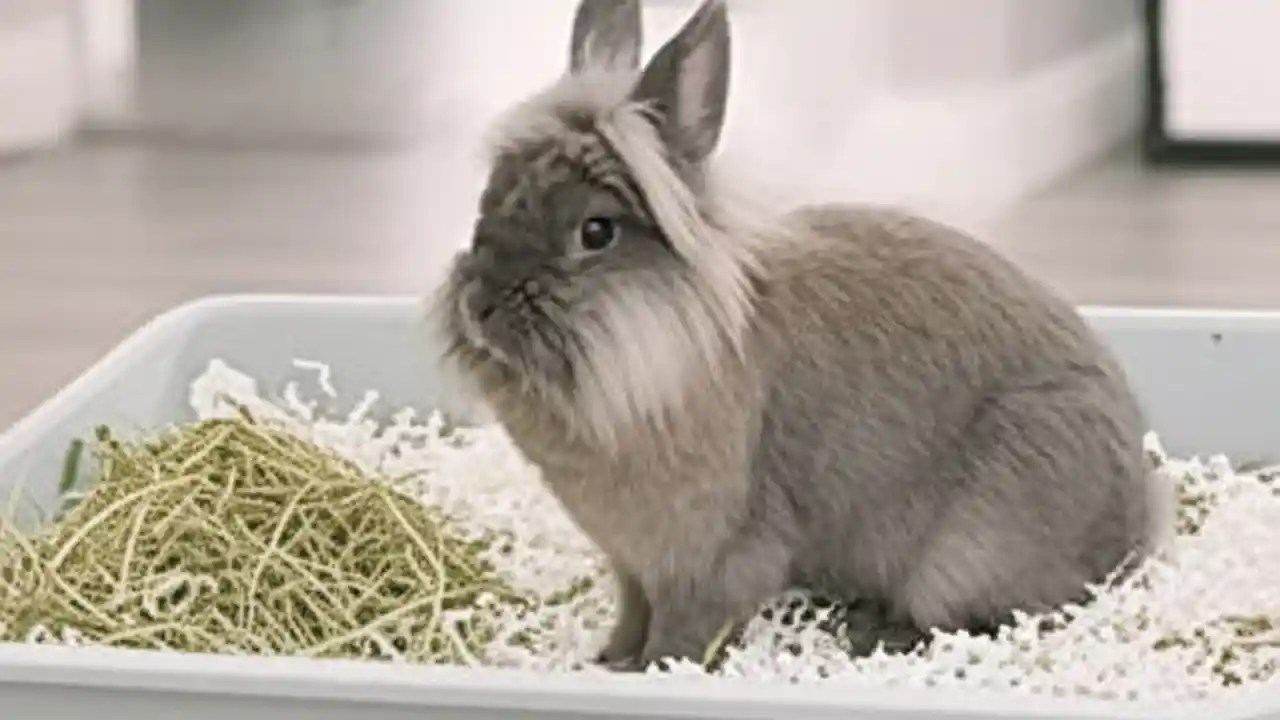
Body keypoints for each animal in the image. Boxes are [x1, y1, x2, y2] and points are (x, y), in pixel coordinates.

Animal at [429, 0, 1171, 670]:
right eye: (487, 200)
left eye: (596, 232)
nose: (479, 305)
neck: (675, 356)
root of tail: (1135, 527)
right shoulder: (632, 568)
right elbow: (631, 615)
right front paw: (606, 661)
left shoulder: (710, 563)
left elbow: (682, 633)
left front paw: (653, 671)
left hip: (971, 553)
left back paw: (872, 632)